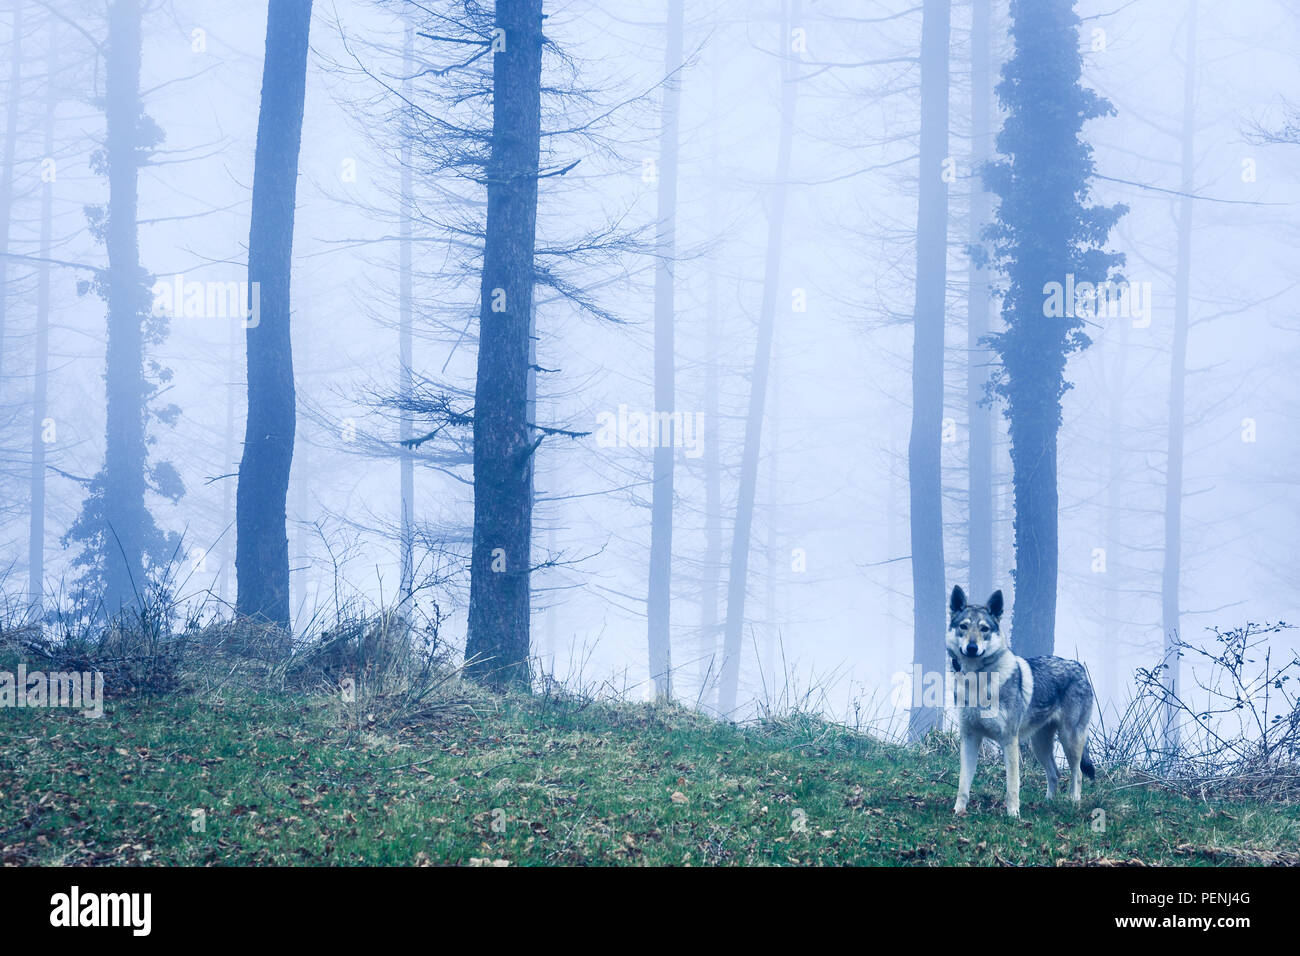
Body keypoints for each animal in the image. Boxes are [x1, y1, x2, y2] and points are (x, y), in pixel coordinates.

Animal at [946, 586, 1095, 817]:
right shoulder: (969, 738)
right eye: (964, 627)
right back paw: (1047, 803)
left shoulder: (1009, 741)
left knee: (1077, 773)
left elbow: (1012, 785)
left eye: (984, 629)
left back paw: (1073, 803)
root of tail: (1077, 666)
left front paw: (1013, 815)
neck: (978, 681)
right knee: (1055, 774)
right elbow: (963, 784)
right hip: (1039, 745)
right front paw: (958, 812)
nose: (972, 647)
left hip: (1069, 739)